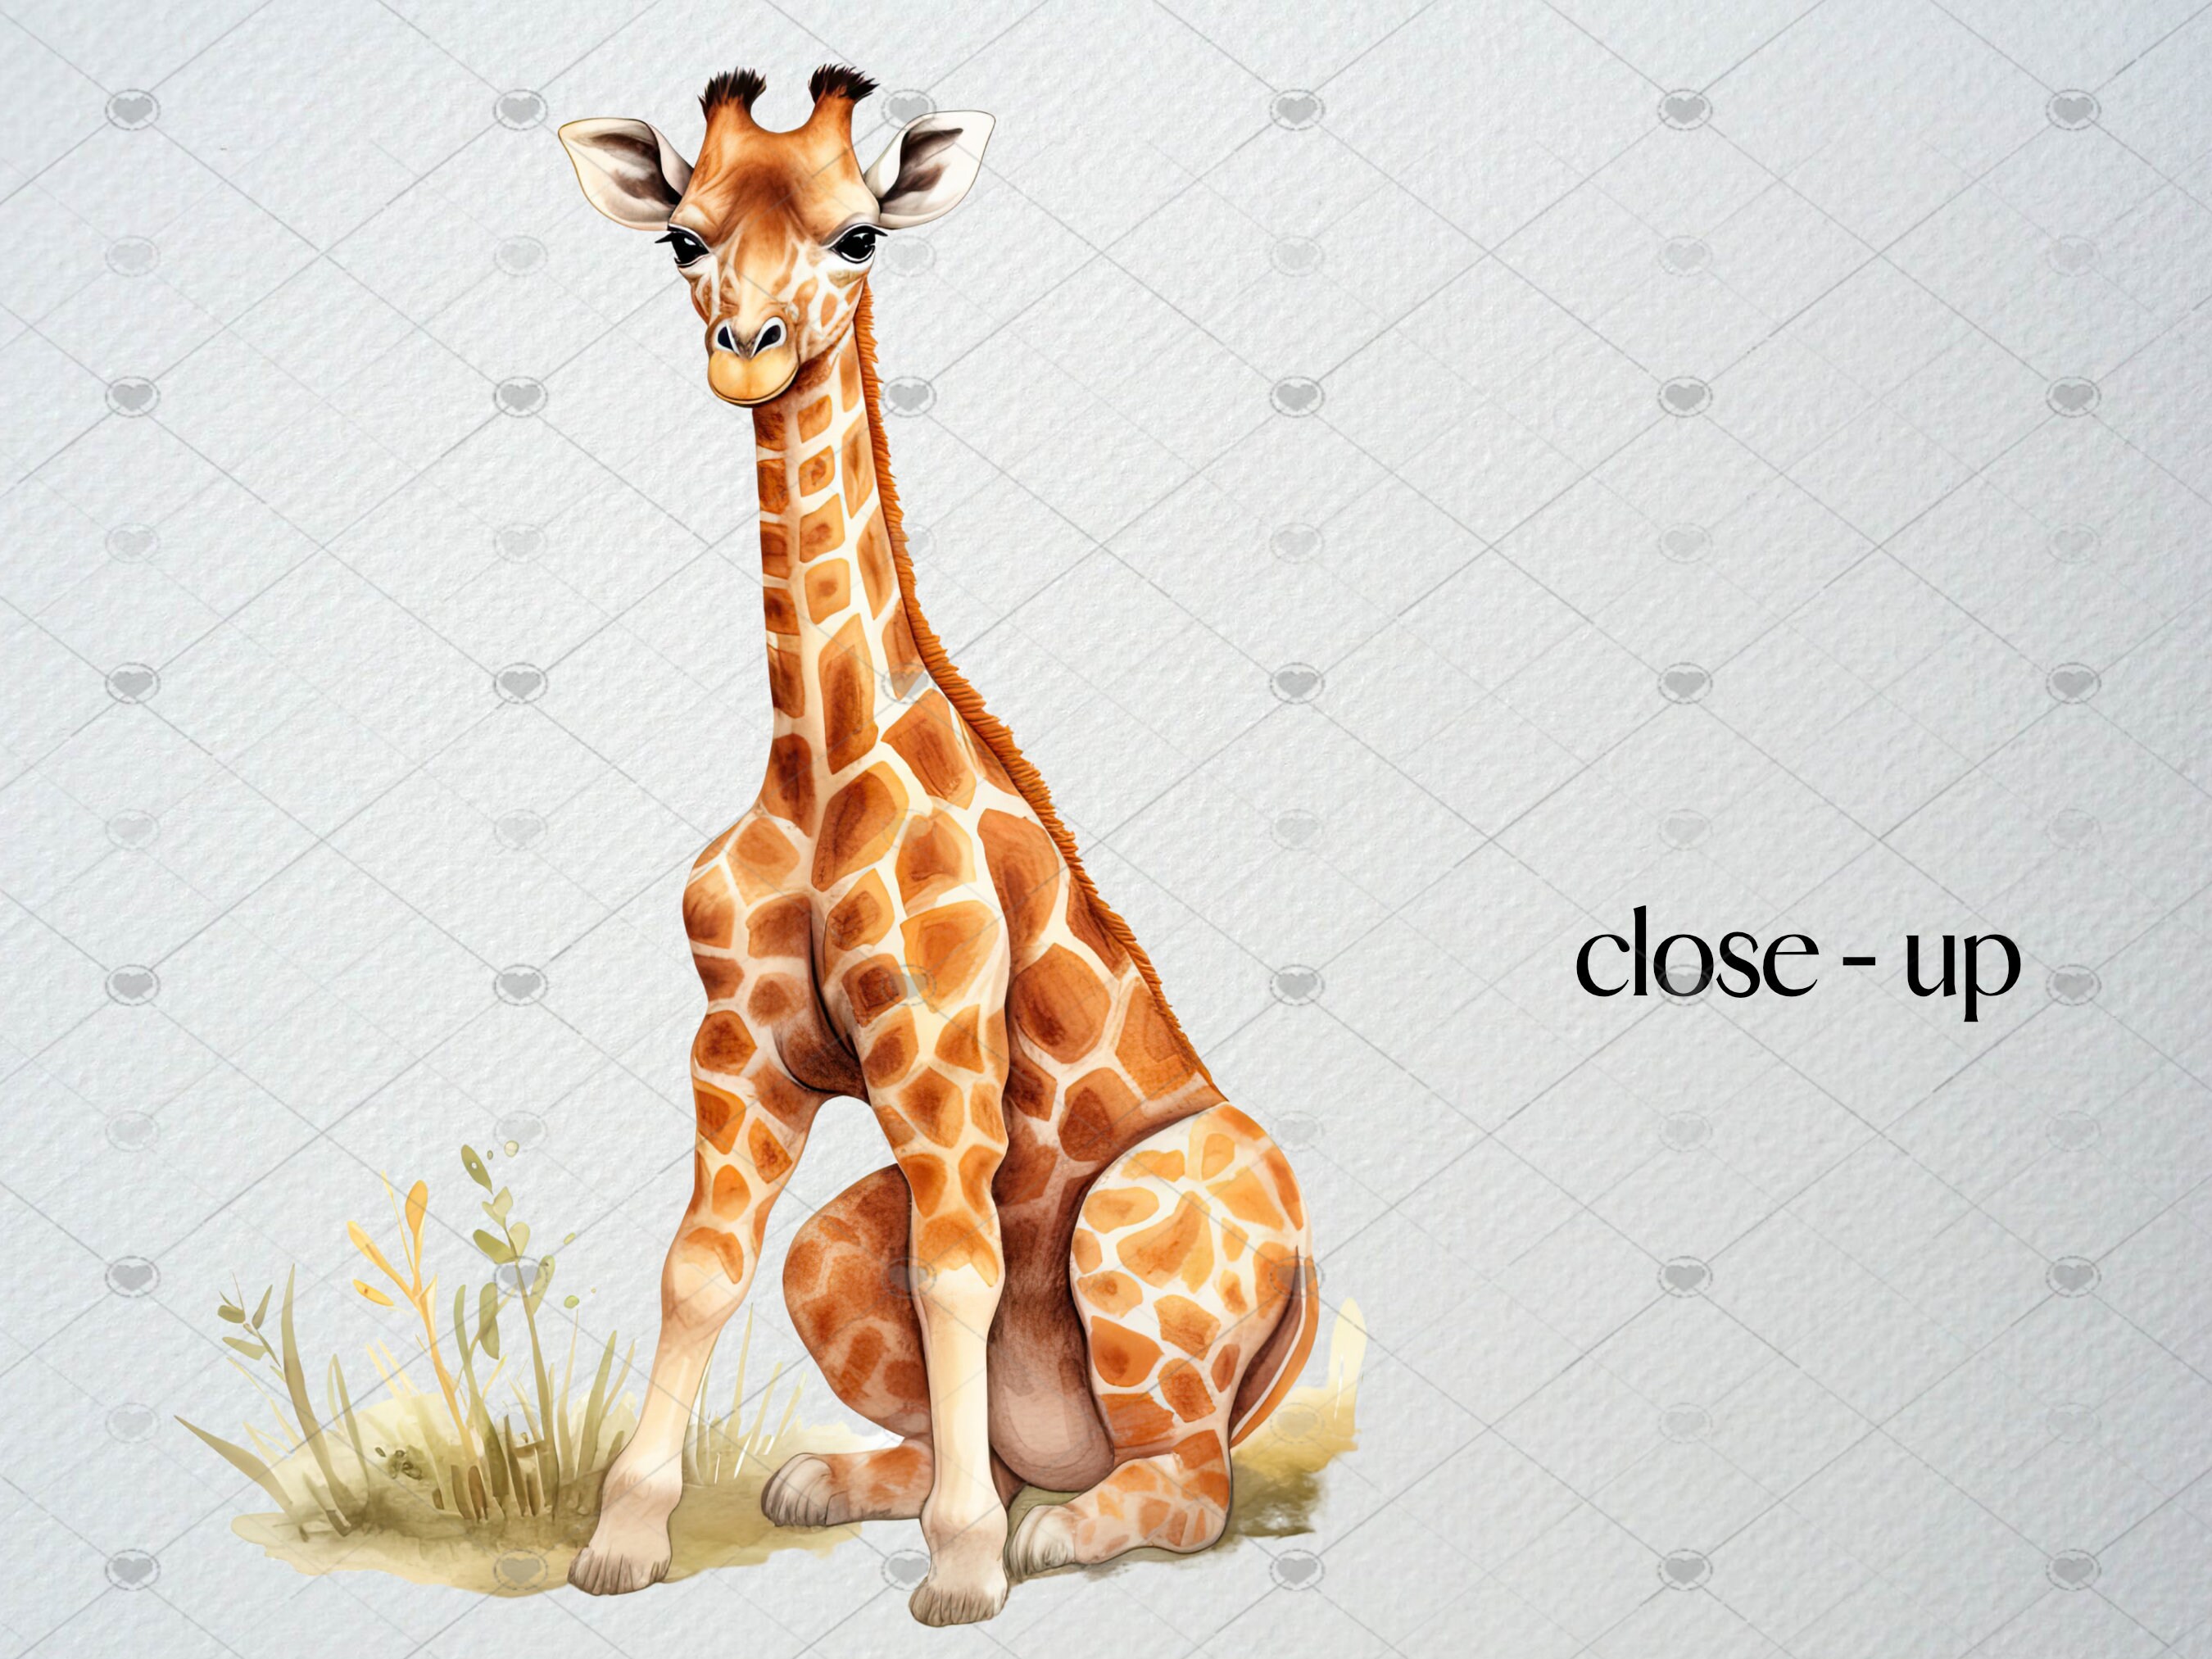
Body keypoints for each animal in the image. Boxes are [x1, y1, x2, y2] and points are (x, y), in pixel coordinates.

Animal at [556, 65, 1317, 1625]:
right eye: (682, 237)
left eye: (858, 237)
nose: (745, 352)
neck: (817, 752)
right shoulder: (741, 1044)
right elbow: (698, 1266)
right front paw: (622, 1541)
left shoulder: (940, 1047)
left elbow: (960, 1278)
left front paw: (962, 1573)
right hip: (845, 1237)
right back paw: (829, 1478)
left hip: (1140, 1229)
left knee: (1187, 1485)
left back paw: (1042, 1532)